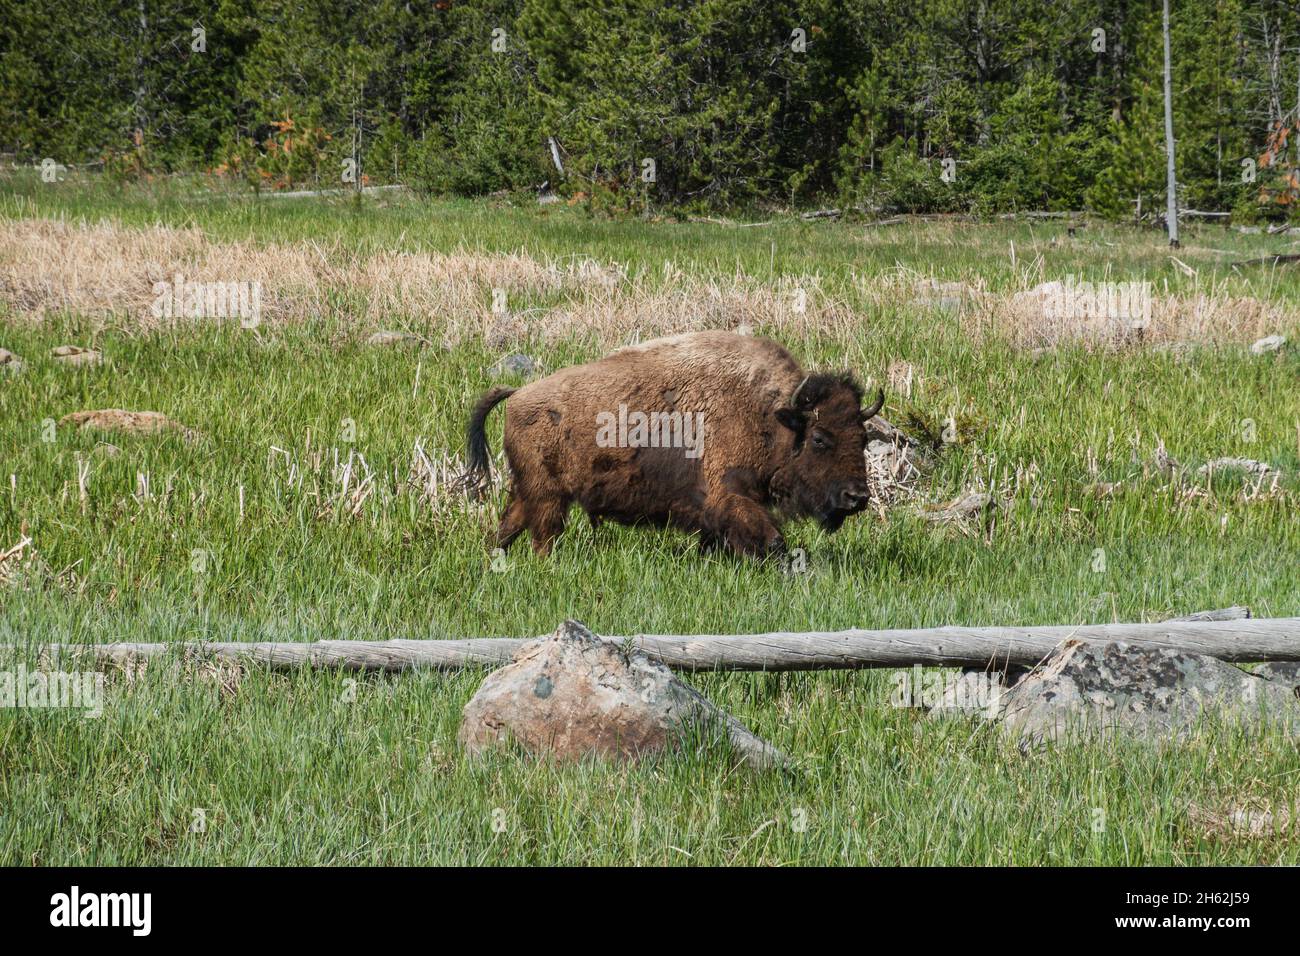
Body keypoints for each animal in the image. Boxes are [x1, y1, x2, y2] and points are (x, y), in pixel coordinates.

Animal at [463, 330, 884, 558]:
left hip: (530, 491)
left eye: (863, 437)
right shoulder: (730, 496)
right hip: (549, 496)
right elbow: (771, 539)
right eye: (819, 438)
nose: (857, 497)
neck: (771, 414)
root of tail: (519, 395)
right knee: (542, 535)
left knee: (509, 527)